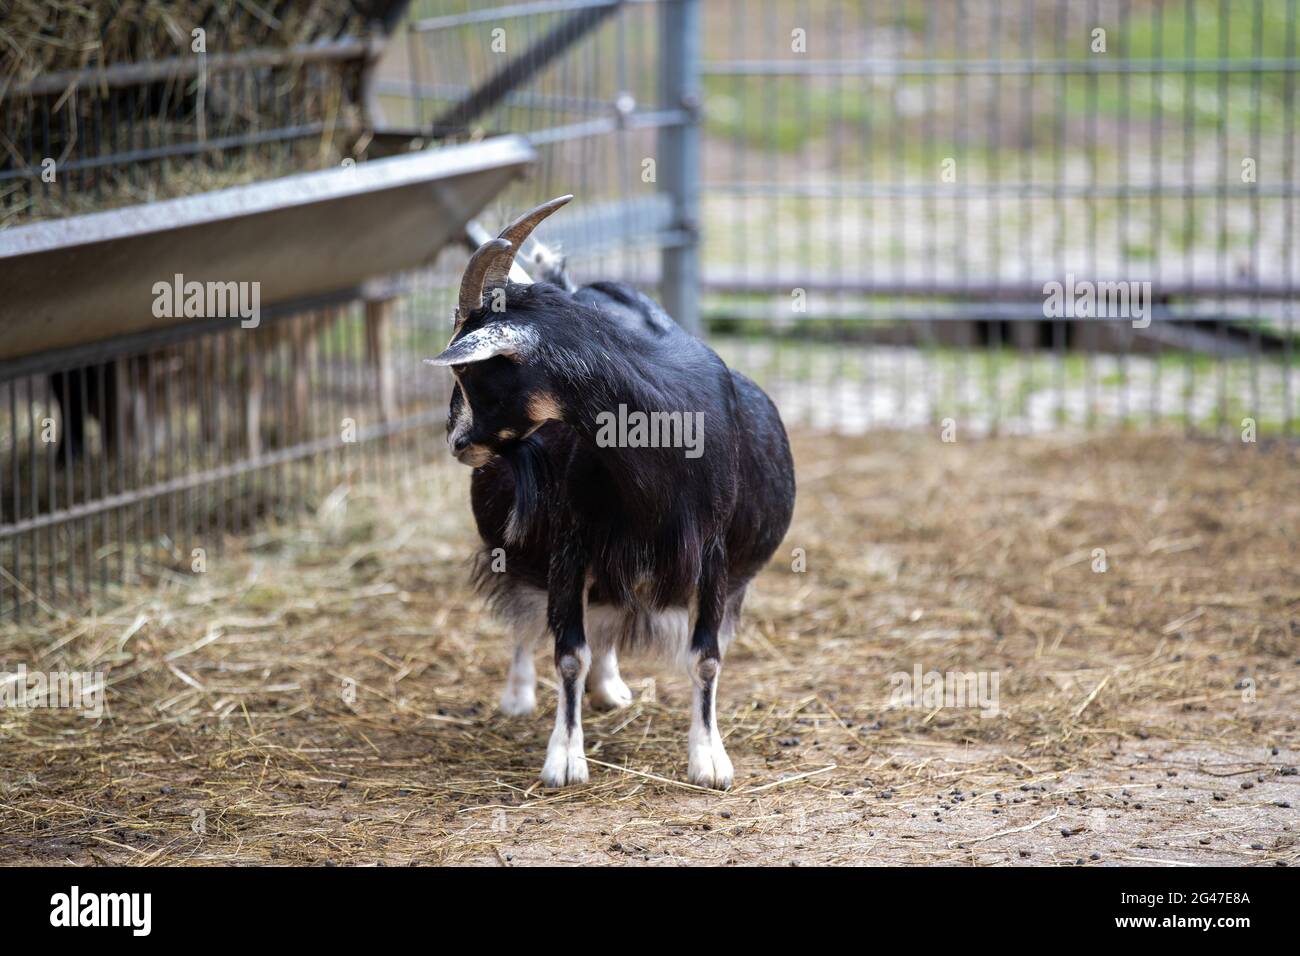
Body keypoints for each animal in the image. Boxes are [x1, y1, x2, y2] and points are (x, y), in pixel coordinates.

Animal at [427, 196, 795, 788]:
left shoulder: (711, 550)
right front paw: (564, 759)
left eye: (470, 370)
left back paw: (609, 688)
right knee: (526, 618)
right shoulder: (570, 543)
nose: (458, 442)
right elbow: (567, 652)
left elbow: (706, 656)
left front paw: (709, 760)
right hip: (526, 548)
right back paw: (518, 696)